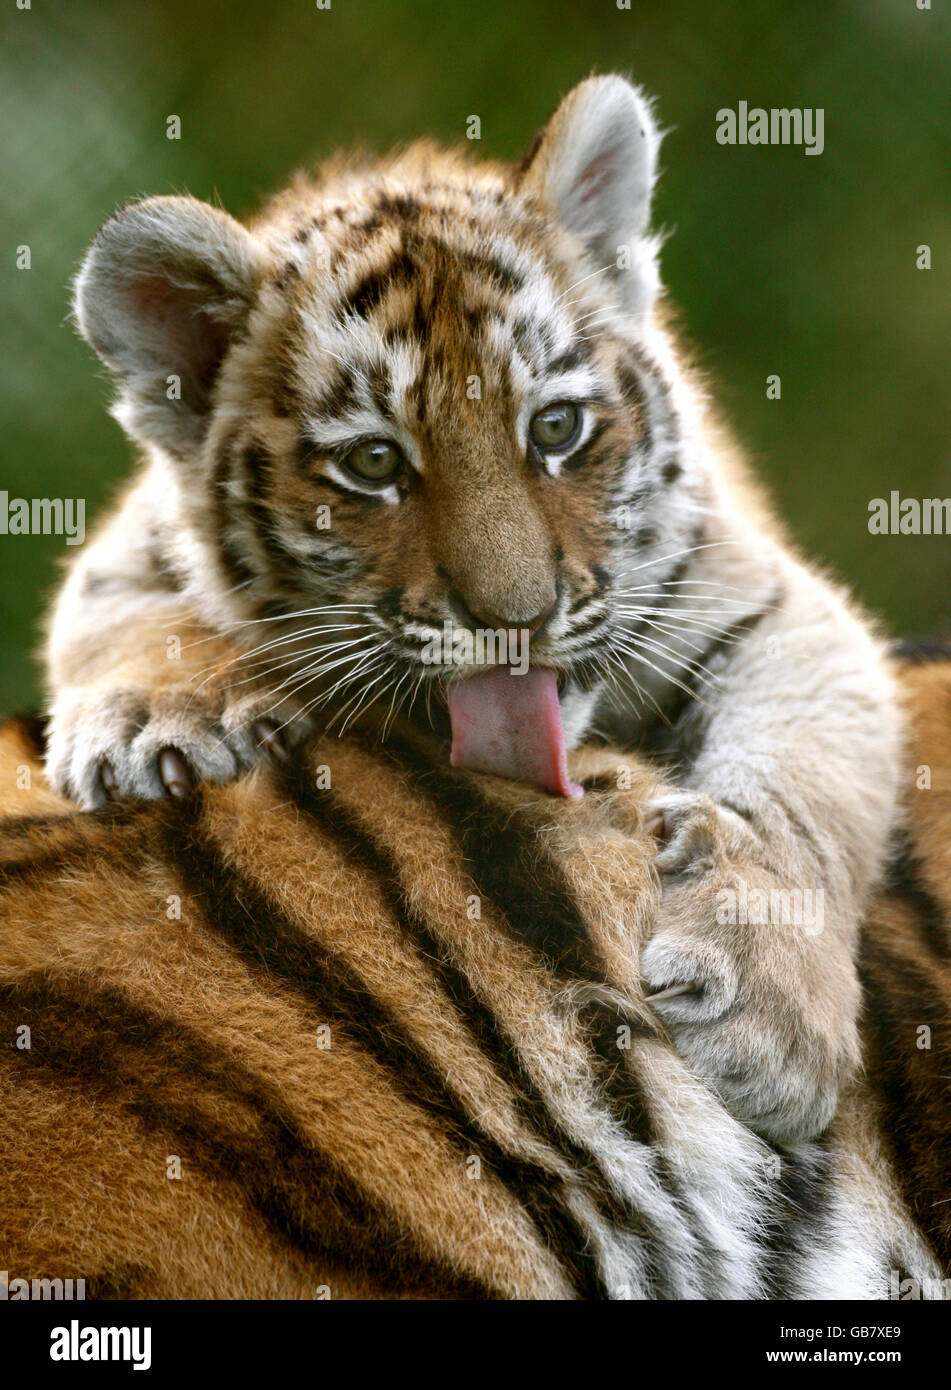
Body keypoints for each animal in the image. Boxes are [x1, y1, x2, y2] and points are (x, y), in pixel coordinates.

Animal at [44, 73, 900, 1147]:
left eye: (556, 427)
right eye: (373, 463)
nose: (517, 617)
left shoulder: (773, 604)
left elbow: (801, 786)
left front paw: (770, 1020)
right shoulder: (121, 554)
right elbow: (131, 621)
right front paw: (151, 722)